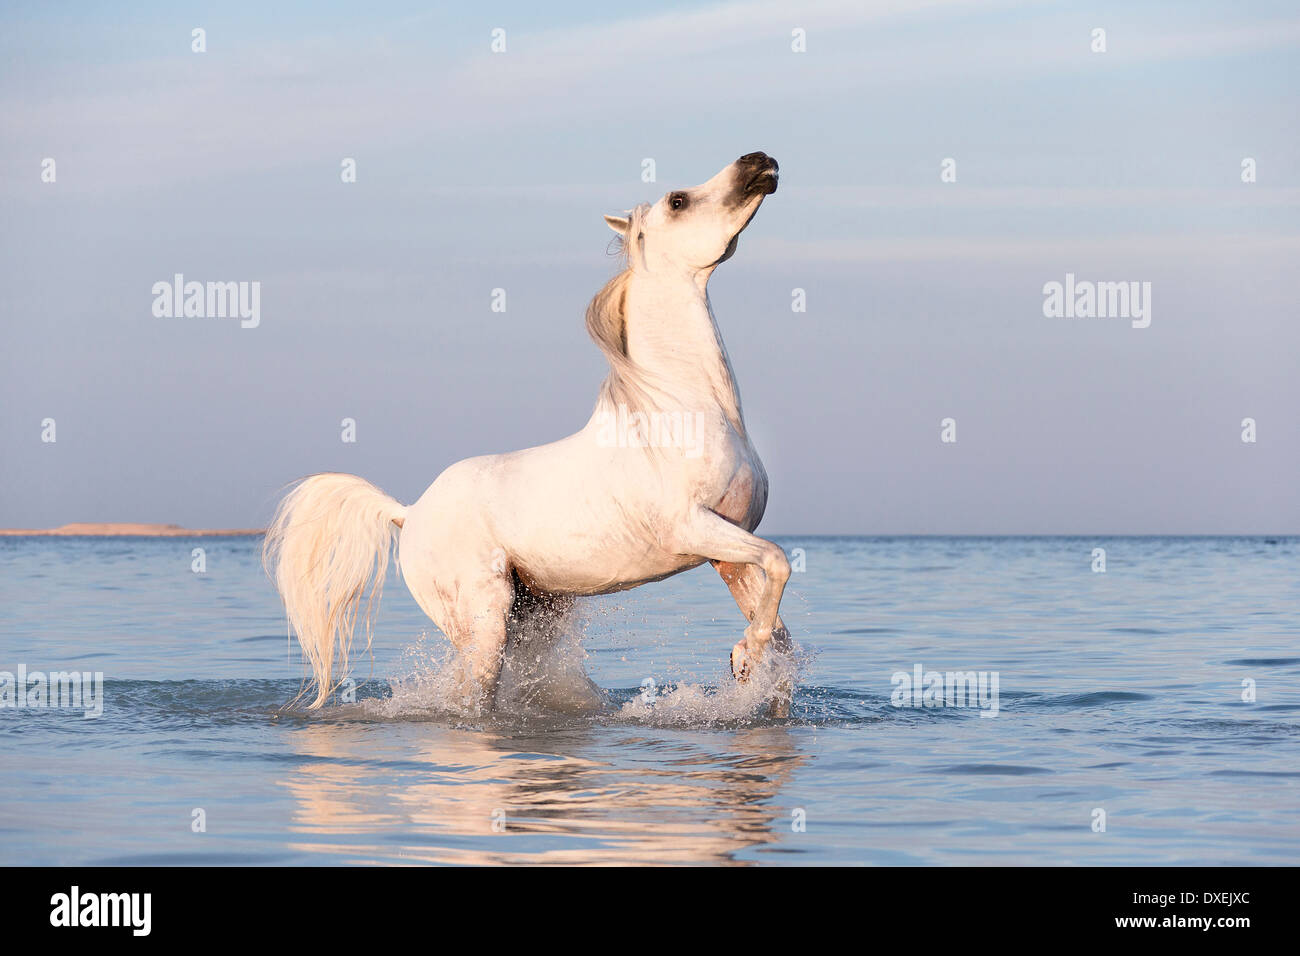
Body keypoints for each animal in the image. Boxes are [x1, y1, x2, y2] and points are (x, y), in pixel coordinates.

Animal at [264, 151, 794, 717]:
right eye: (677, 201)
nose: (760, 161)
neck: (682, 410)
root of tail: (409, 512)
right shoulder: (694, 528)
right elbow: (780, 563)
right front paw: (745, 656)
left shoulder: (726, 551)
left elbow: (782, 625)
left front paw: (751, 670)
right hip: (485, 622)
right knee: (471, 697)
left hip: (535, 614)